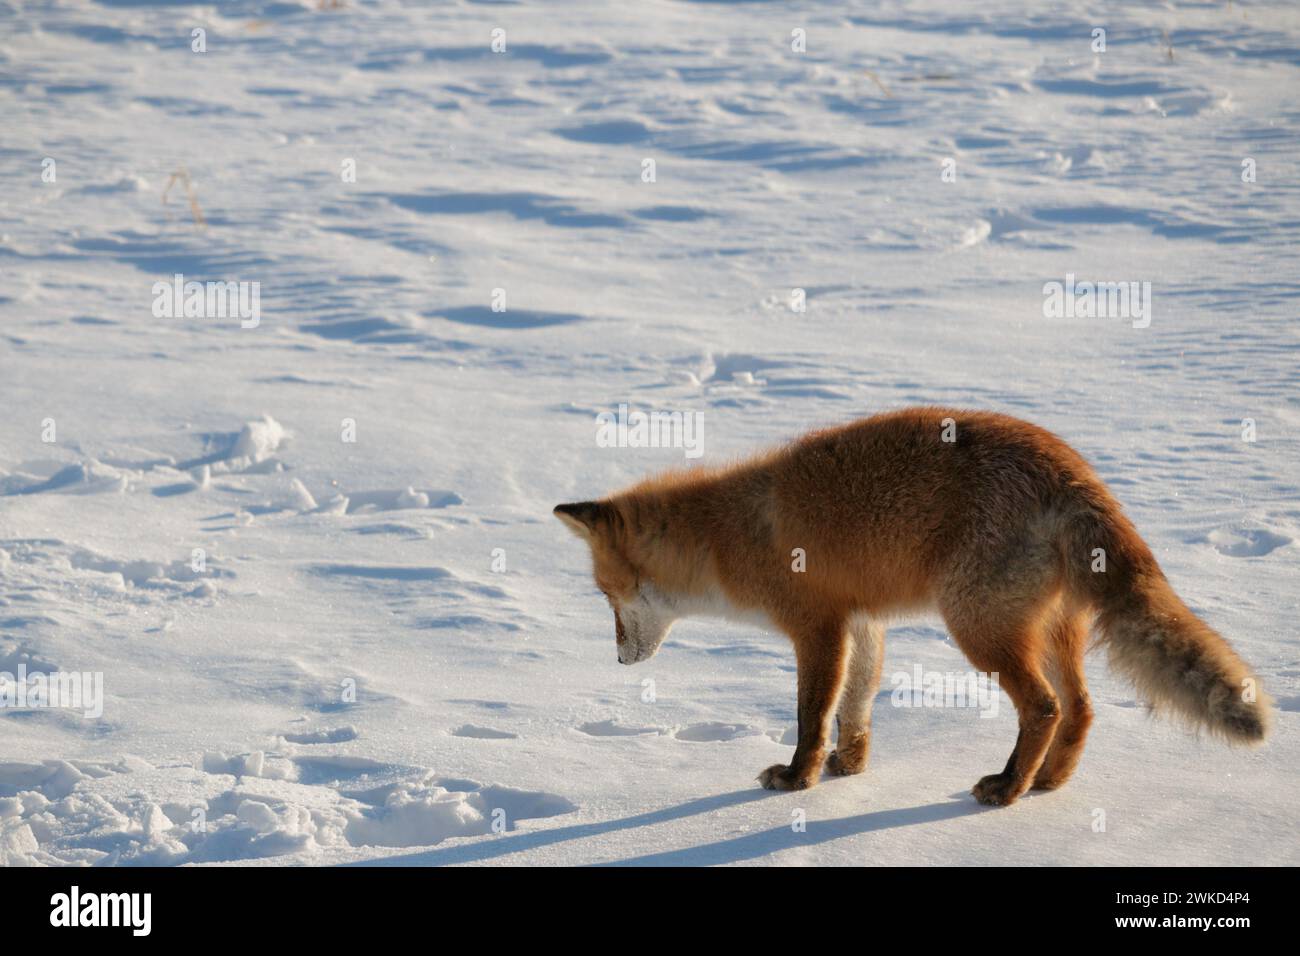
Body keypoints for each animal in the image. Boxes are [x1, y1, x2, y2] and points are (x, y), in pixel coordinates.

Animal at [554, 407, 1271, 806]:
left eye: (608, 597)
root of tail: (1074, 472)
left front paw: (798, 779)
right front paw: (850, 768)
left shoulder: (816, 626)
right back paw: (1047, 783)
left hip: (978, 627)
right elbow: (857, 706)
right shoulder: (862, 622)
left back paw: (1007, 790)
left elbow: (812, 716)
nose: (619, 661)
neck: (728, 536)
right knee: (1083, 707)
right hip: (1048, 629)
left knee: (1043, 706)